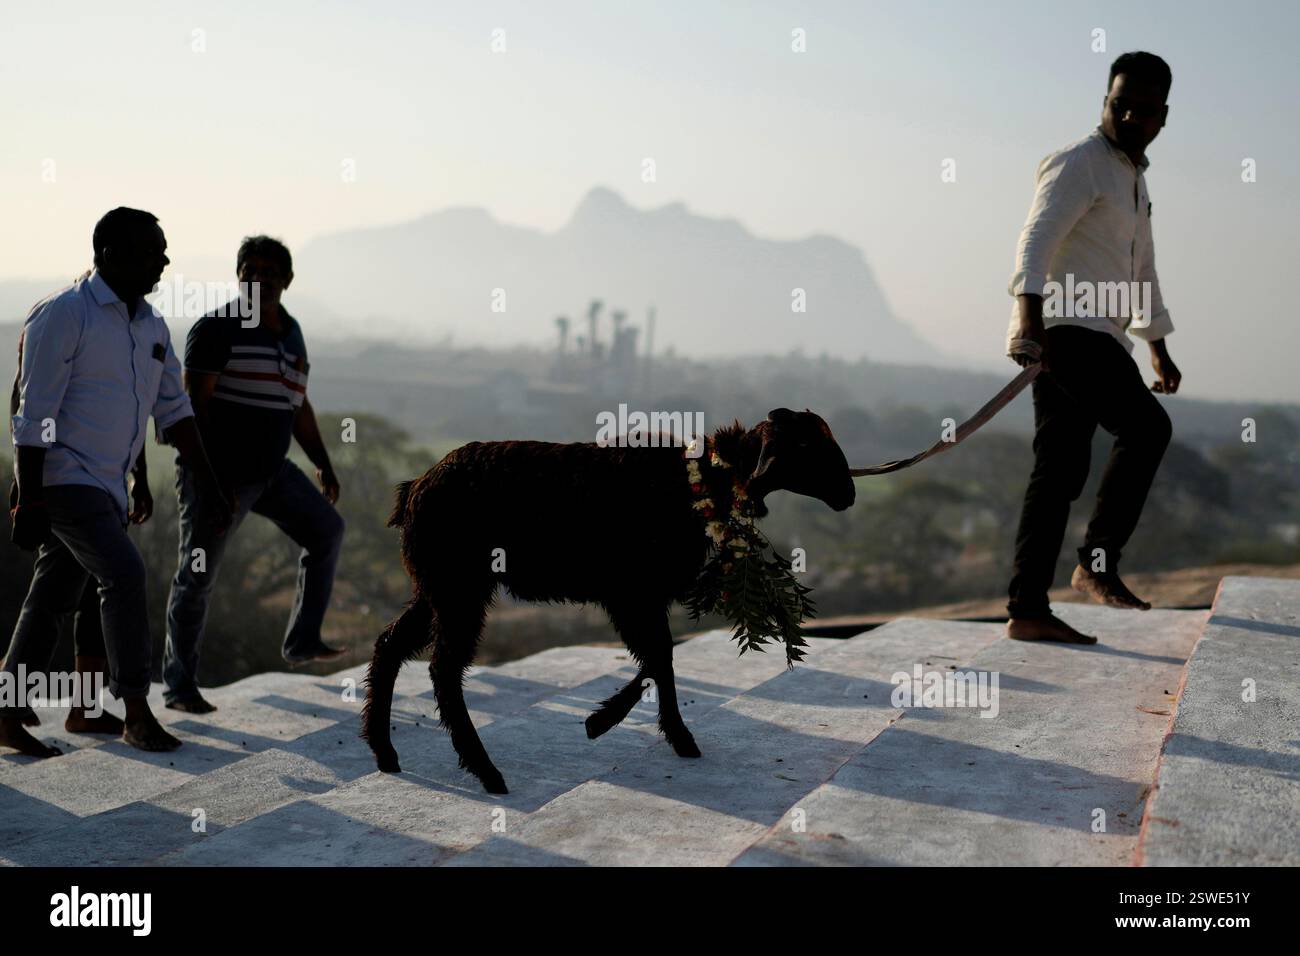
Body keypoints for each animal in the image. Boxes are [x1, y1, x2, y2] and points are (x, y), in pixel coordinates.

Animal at [361, 407, 855, 794]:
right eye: (807, 444)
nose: (848, 494)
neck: (702, 480)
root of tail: (413, 488)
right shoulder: (632, 594)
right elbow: (659, 656)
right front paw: (613, 724)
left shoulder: (639, 597)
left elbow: (659, 657)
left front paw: (645, 730)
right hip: (457, 584)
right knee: (443, 668)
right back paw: (487, 773)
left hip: (436, 586)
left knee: (390, 644)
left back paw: (385, 753)